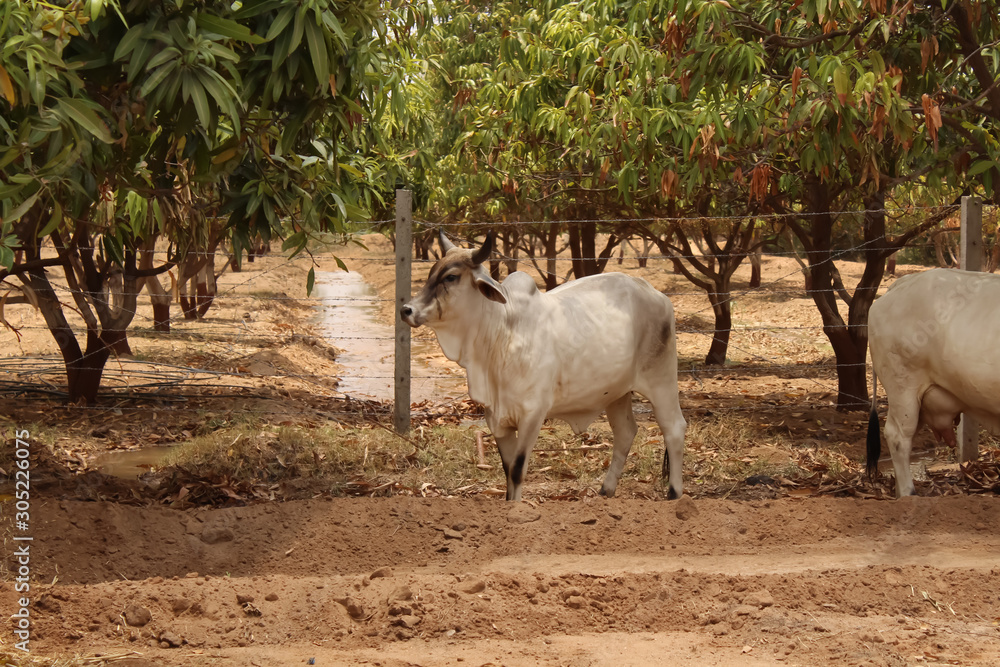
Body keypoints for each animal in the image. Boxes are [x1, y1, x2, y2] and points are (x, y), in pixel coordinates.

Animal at [400, 232, 687, 501]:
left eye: (451, 277)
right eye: (432, 272)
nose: (406, 310)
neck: (500, 332)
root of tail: (657, 294)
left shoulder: (533, 414)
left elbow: (517, 470)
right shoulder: (497, 418)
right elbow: (507, 471)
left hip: (661, 380)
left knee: (674, 428)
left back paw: (674, 493)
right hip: (617, 392)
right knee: (626, 433)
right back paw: (606, 490)